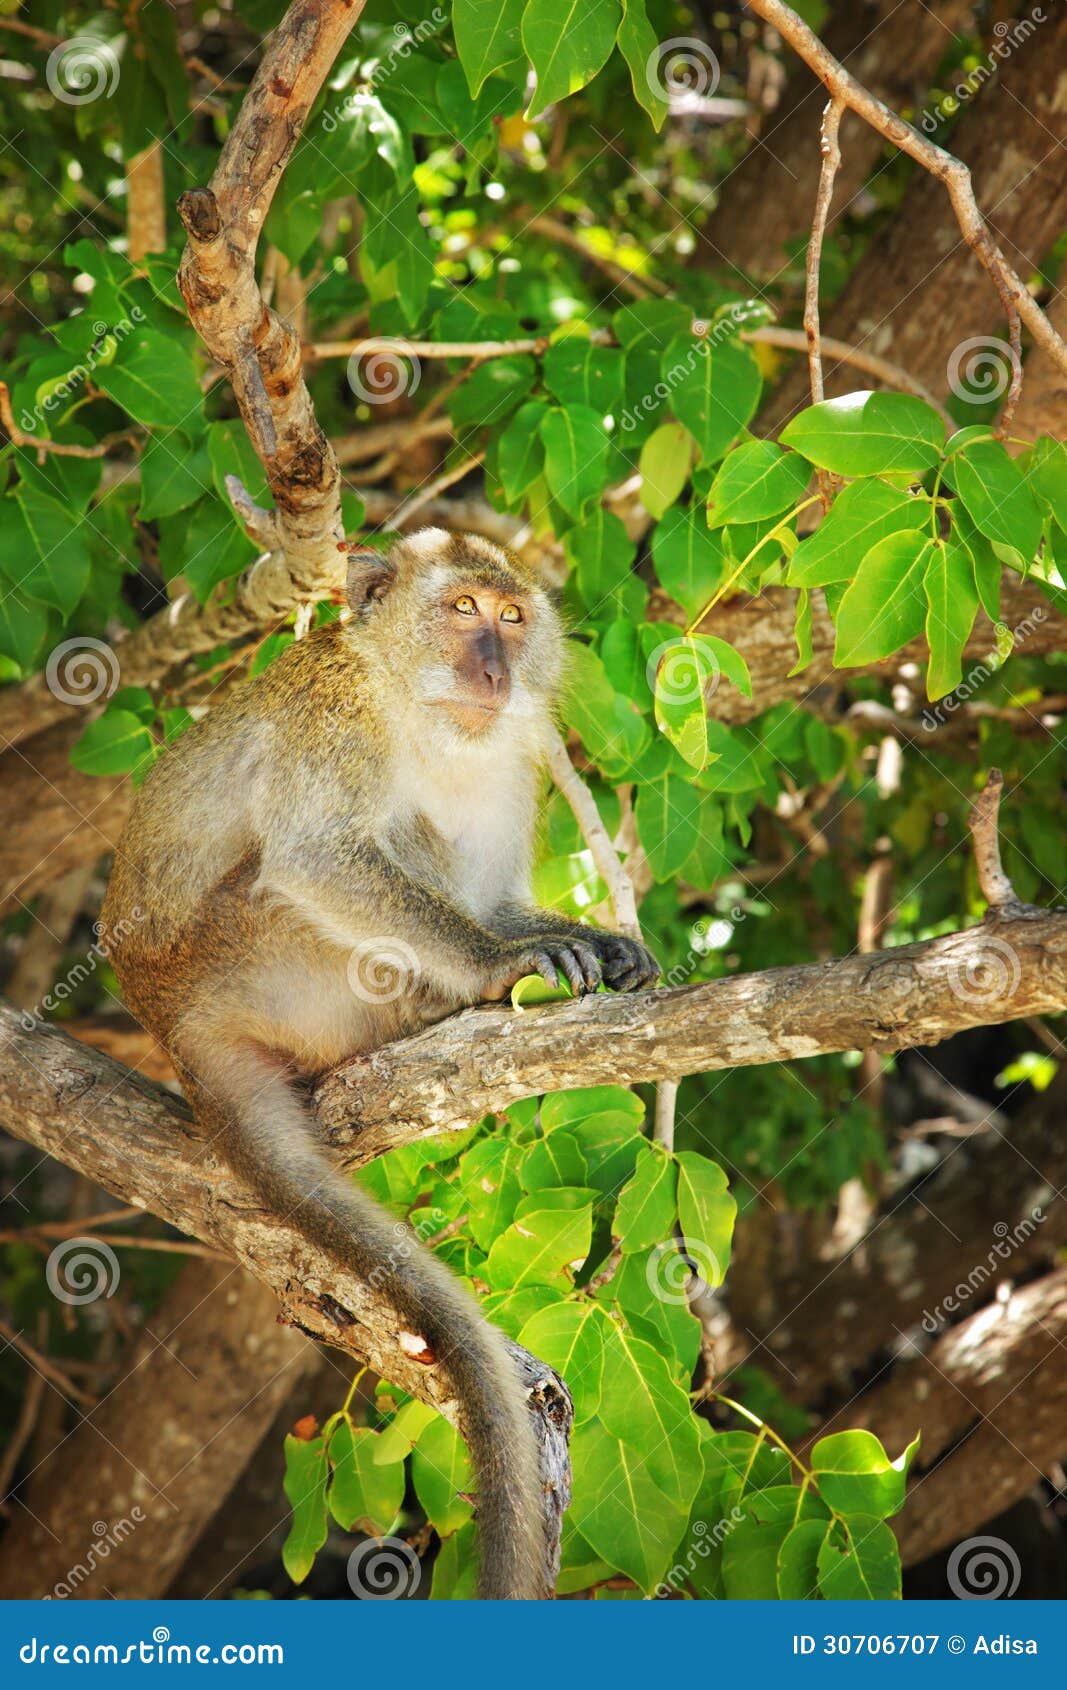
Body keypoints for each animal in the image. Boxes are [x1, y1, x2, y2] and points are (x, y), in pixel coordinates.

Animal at [99, 527, 660, 1601]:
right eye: (461, 609)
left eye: (512, 617)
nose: (492, 666)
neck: (418, 710)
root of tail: (174, 1026)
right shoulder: (337, 722)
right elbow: (321, 856)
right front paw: (500, 964)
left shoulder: (508, 760)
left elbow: (492, 894)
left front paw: (587, 941)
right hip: (269, 966)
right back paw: (442, 1005)